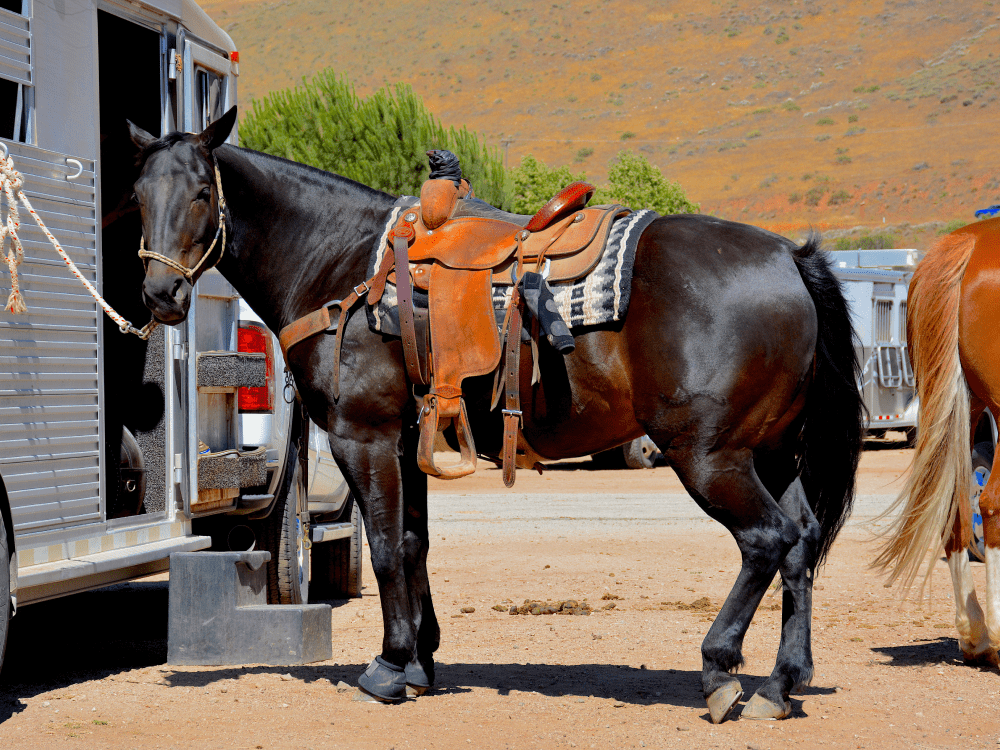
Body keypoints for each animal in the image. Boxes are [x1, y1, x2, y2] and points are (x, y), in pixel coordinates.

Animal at [128, 108, 864, 723]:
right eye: (137, 195)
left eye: (201, 194)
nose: (160, 294)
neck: (340, 264)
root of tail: (788, 257)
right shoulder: (406, 439)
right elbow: (415, 544)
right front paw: (420, 661)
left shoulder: (362, 437)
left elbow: (388, 546)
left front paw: (388, 668)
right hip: (770, 452)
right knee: (800, 541)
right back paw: (779, 684)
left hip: (708, 454)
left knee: (766, 539)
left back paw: (719, 670)